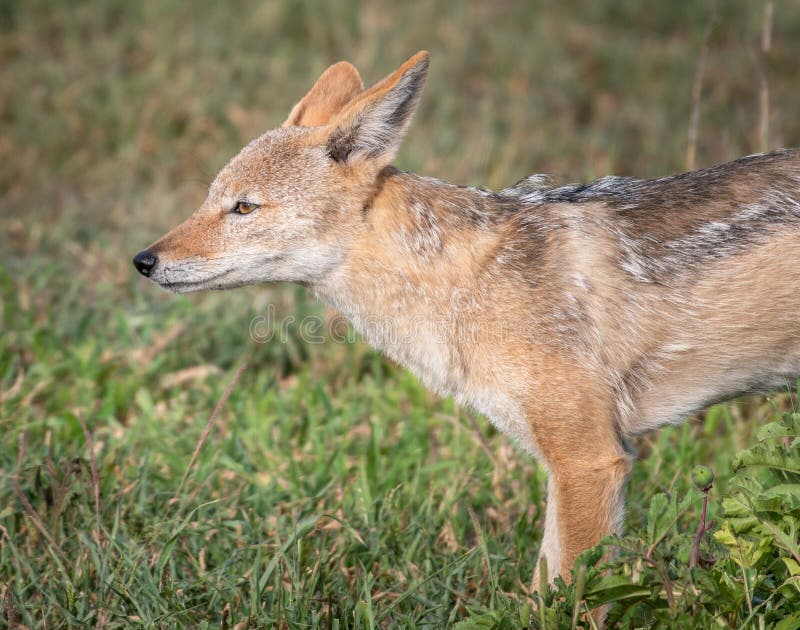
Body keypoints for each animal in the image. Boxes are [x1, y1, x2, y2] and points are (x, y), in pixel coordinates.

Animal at [133, 51, 800, 612]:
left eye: (243, 208)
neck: (461, 285)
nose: (143, 260)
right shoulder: (565, 469)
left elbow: (574, 599)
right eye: (209, 199)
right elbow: (540, 591)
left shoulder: (590, 460)